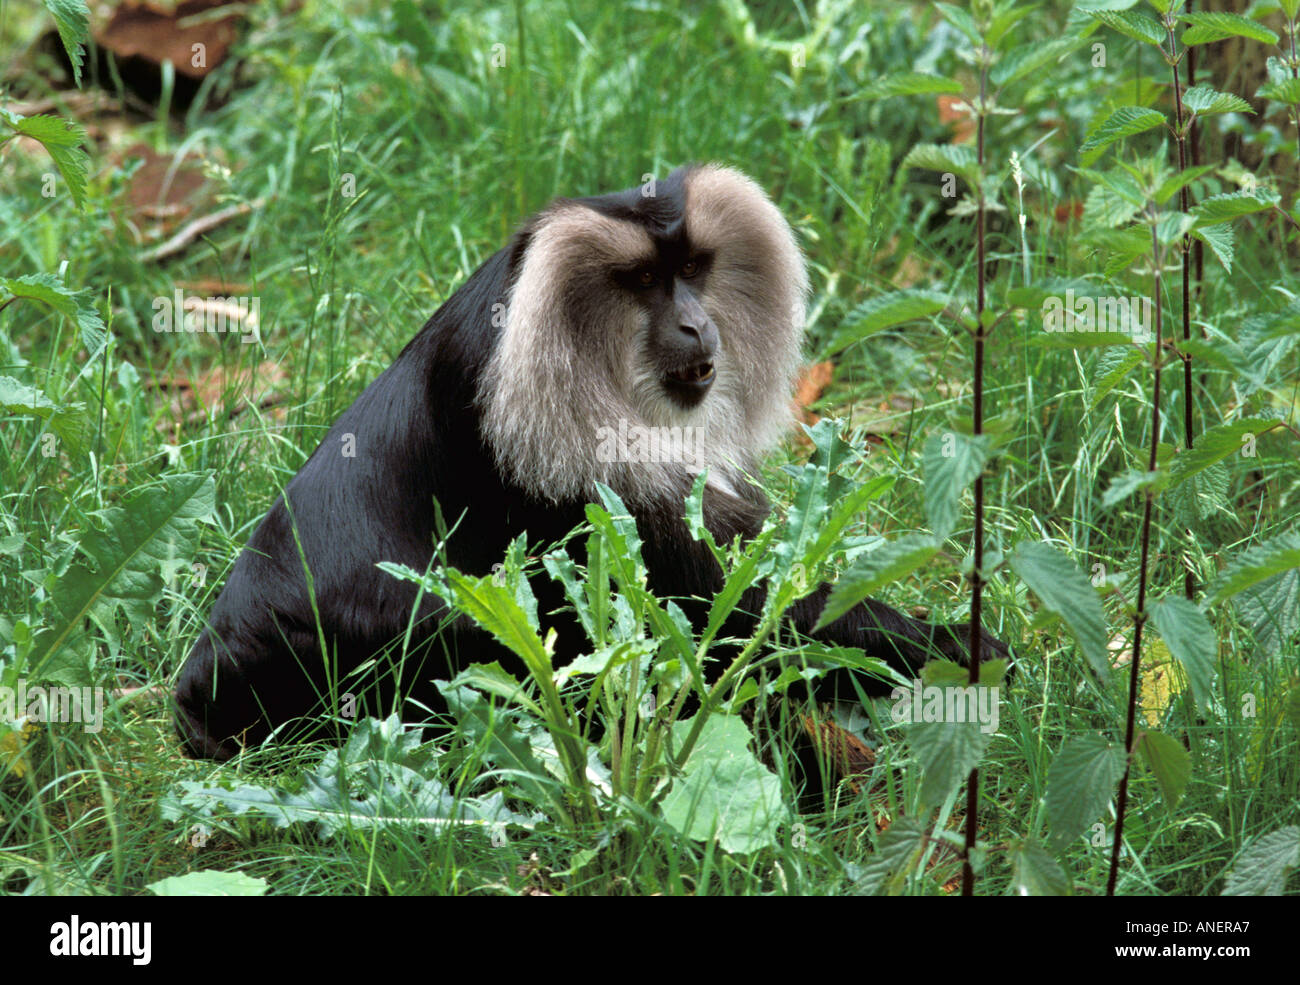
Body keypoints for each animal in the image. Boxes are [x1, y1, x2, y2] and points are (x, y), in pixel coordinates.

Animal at [174, 164, 1010, 763]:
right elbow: (732, 610)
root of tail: (205, 675)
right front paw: (946, 648)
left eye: (694, 269)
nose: (695, 325)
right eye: (641, 282)